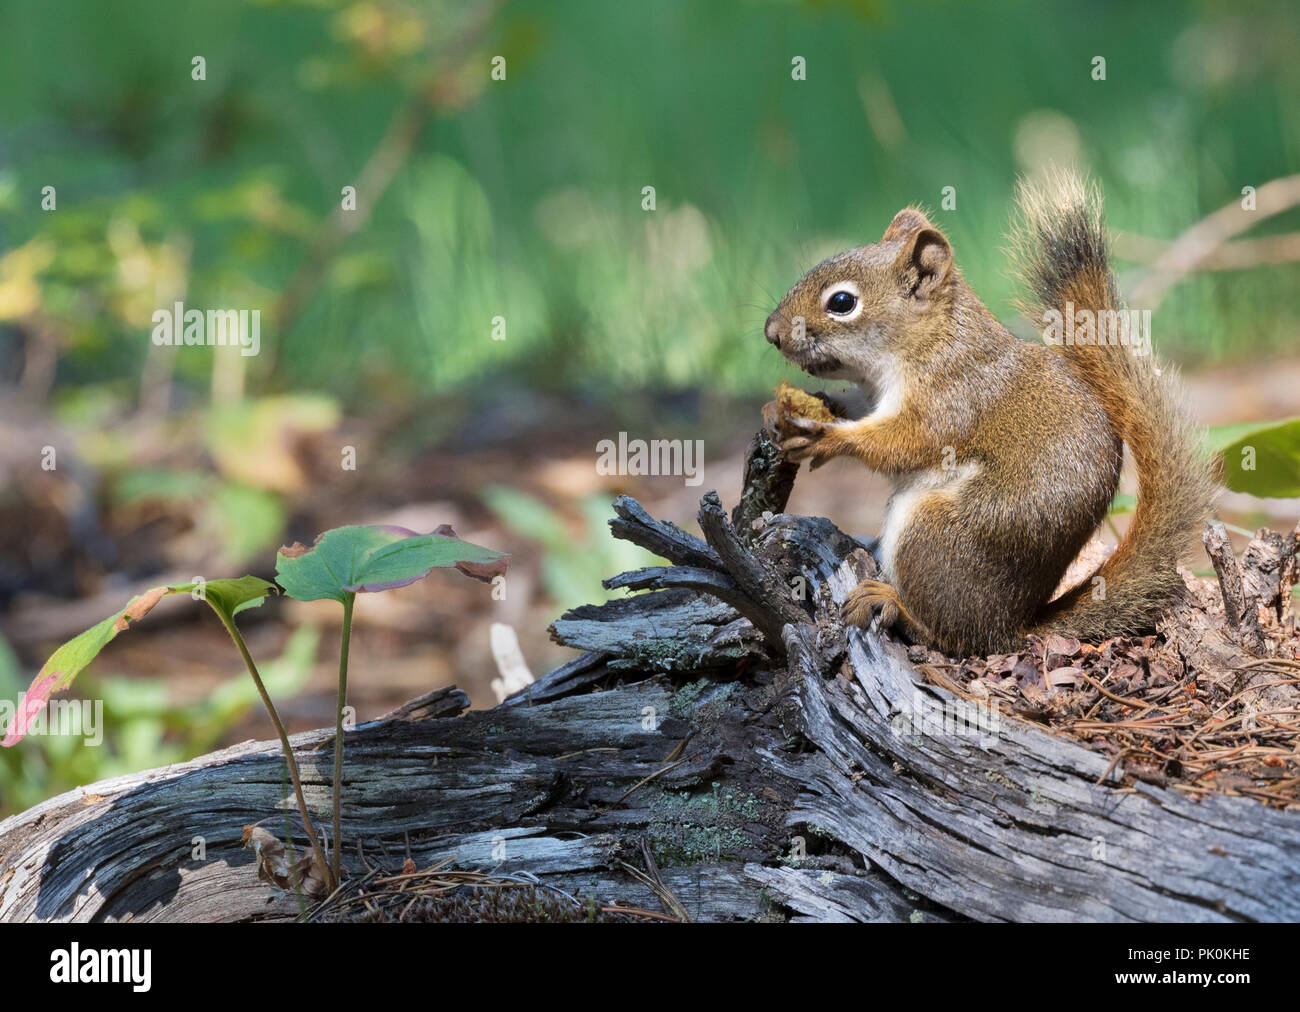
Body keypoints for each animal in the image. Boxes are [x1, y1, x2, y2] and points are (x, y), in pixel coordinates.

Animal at [763, 170, 1217, 657]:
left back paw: (895, 605)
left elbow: (903, 443)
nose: (771, 332)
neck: (932, 341)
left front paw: (827, 436)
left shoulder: (952, 398)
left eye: (842, 302)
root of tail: (1014, 625)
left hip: (935, 533)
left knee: (953, 636)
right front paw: (785, 409)